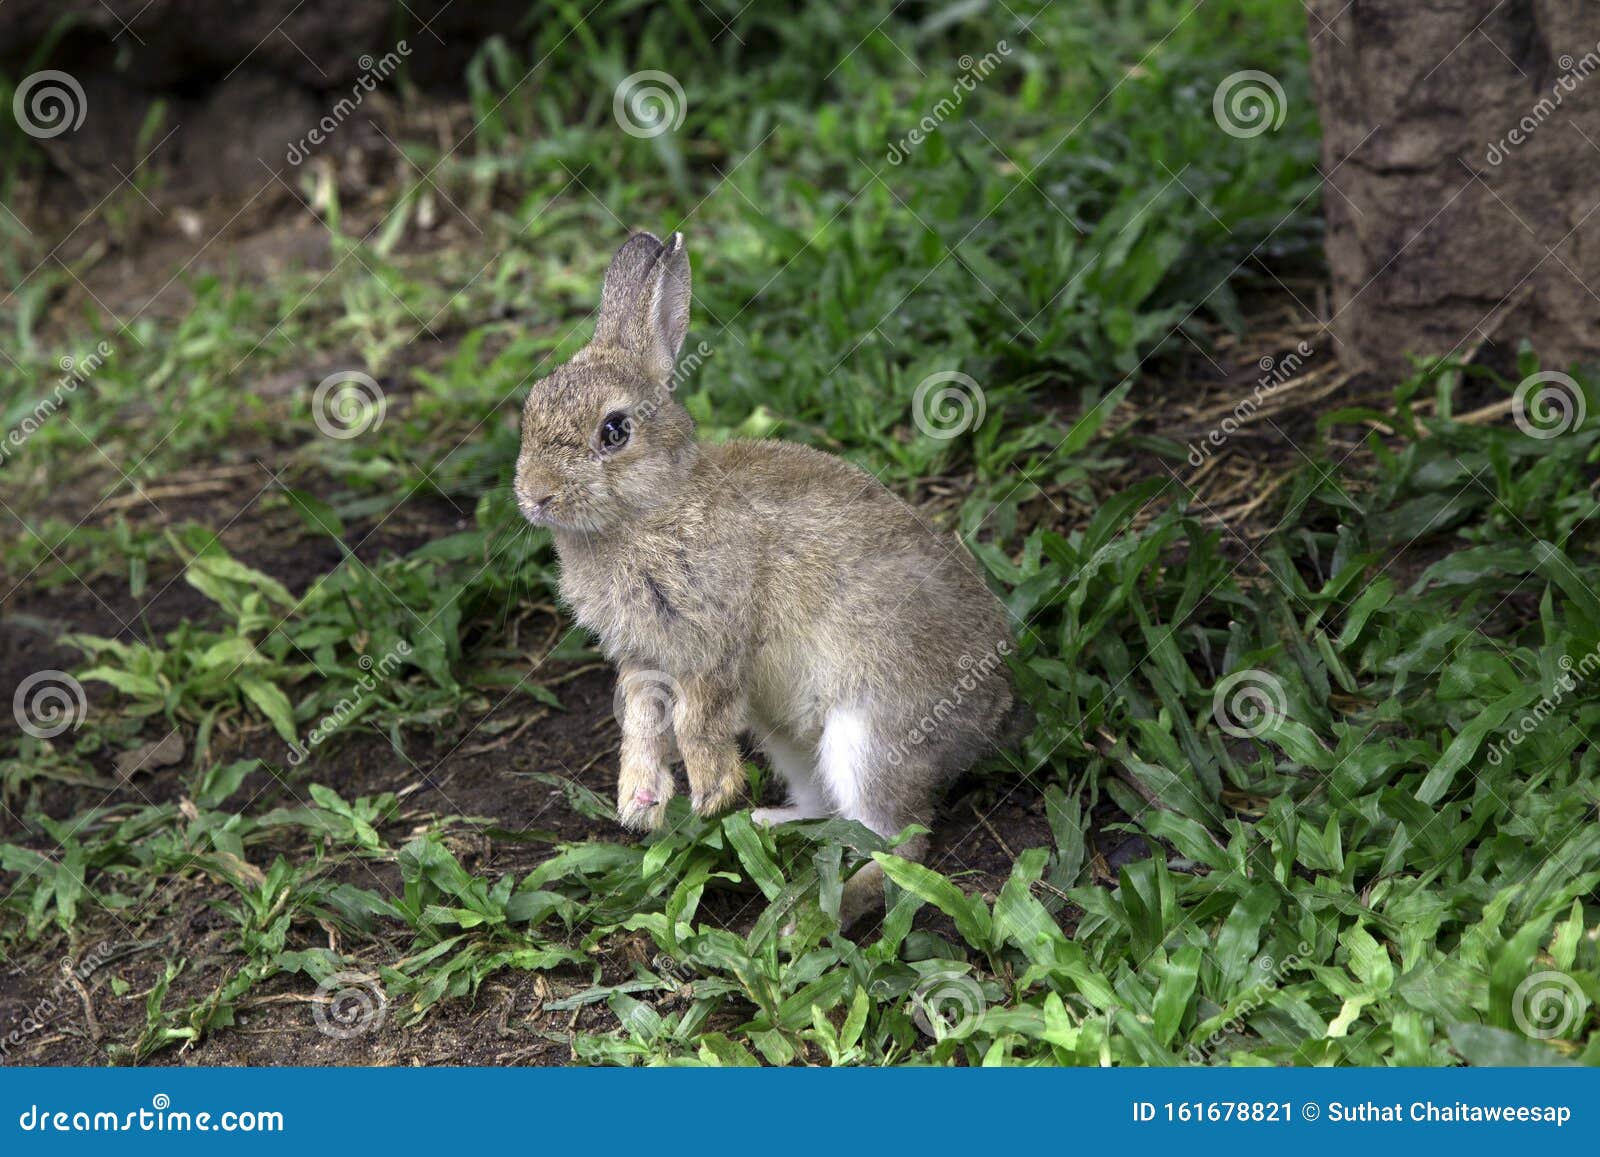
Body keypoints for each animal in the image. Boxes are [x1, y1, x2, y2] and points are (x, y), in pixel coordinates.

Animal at [514, 229, 1022, 928]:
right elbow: (642, 722)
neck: (652, 509)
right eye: (530, 410)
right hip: (790, 742)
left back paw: (820, 909)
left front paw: (709, 793)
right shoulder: (646, 657)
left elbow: (696, 721)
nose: (534, 495)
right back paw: (765, 823)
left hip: (867, 734)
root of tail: (991, 714)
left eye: (614, 430)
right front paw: (641, 802)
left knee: (900, 842)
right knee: (830, 813)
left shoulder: (714, 637)